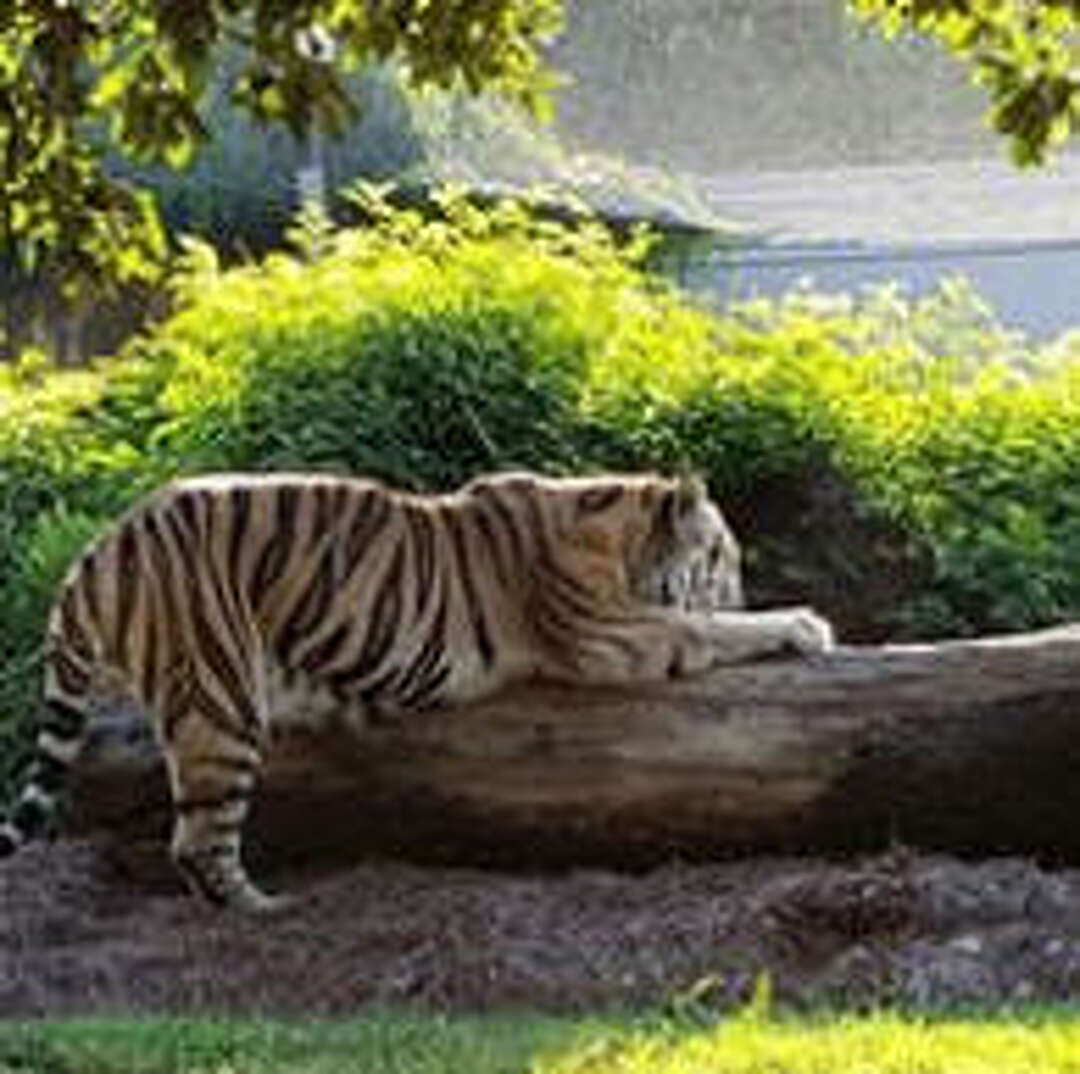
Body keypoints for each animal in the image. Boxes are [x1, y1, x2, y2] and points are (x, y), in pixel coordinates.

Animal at [0, 470, 834, 911]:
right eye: (724, 558)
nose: (739, 581)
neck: (616, 531)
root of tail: (94, 552)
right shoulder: (618, 636)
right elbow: (714, 628)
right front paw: (804, 622)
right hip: (217, 700)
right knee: (199, 841)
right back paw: (266, 909)